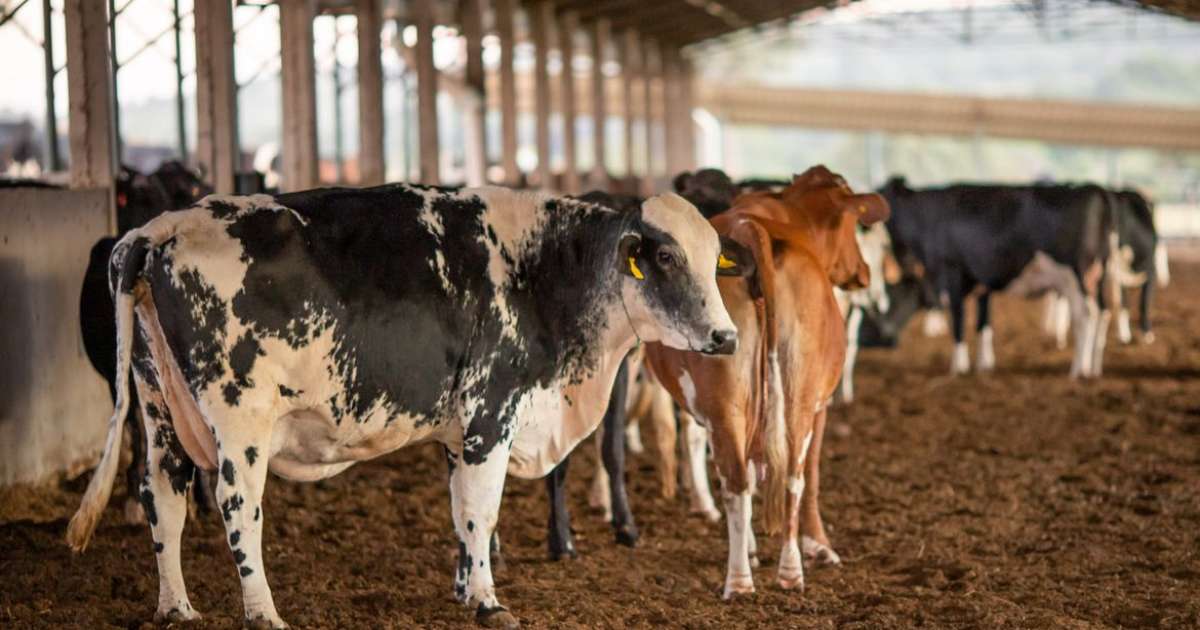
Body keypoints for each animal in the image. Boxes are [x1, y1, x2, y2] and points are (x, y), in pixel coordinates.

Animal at [66, 184, 738, 629]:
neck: (545, 271)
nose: (726, 337)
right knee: (237, 506)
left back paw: (176, 607)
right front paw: (489, 602)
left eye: (713, 260)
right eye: (667, 257)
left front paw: (466, 589)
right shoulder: (492, 411)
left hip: (159, 407)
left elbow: (460, 510)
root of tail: (159, 229)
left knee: (163, 495)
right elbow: (482, 511)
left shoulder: (458, 429)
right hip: (239, 419)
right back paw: (263, 612)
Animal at [644, 166, 890, 598]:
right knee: (783, 477)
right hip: (795, 401)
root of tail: (750, 230)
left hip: (733, 403)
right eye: (851, 226)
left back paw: (762, 573)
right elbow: (812, 476)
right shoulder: (820, 406)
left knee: (750, 478)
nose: (862, 272)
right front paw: (819, 546)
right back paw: (760, 575)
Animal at [878, 177, 1114, 378]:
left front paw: (958, 368)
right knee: (1102, 312)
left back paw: (1078, 370)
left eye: (881, 195)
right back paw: (1094, 368)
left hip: (1077, 275)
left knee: (1085, 316)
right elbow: (983, 324)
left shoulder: (952, 272)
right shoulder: (982, 282)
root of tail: (1092, 188)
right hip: (1098, 274)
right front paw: (984, 366)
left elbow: (959, 320)